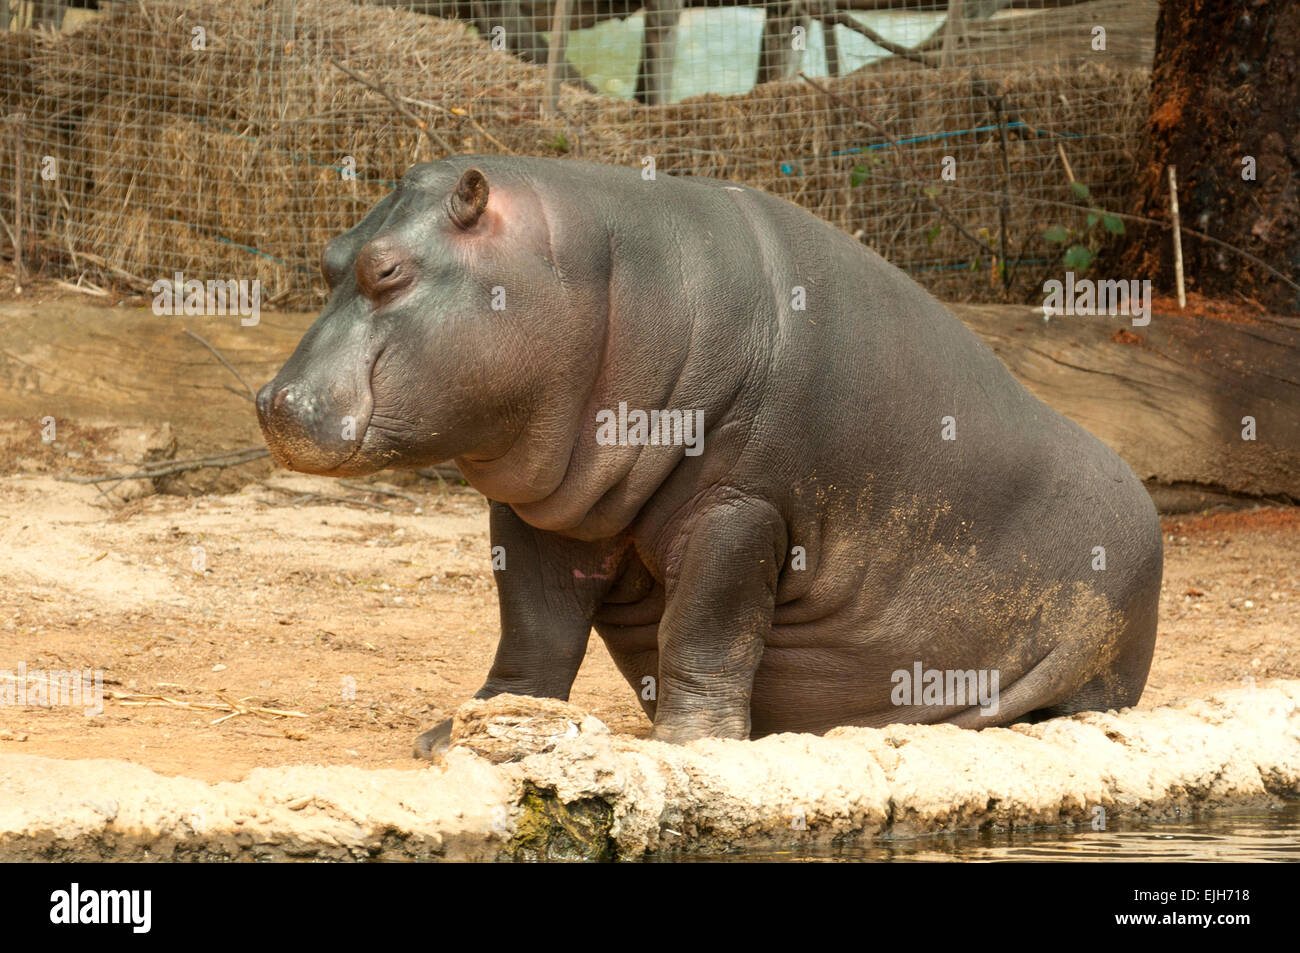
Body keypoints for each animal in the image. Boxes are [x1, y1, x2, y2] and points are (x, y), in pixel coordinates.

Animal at [256, 155, 1162, 758]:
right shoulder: (547, 514)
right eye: (331, 257)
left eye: (388, 270)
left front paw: (688, 746)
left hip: (1096, 660)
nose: (270, 400)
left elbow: (705, 629)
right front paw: (459, 734)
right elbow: (532, 635)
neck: (589, 276)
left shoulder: (742, 508)